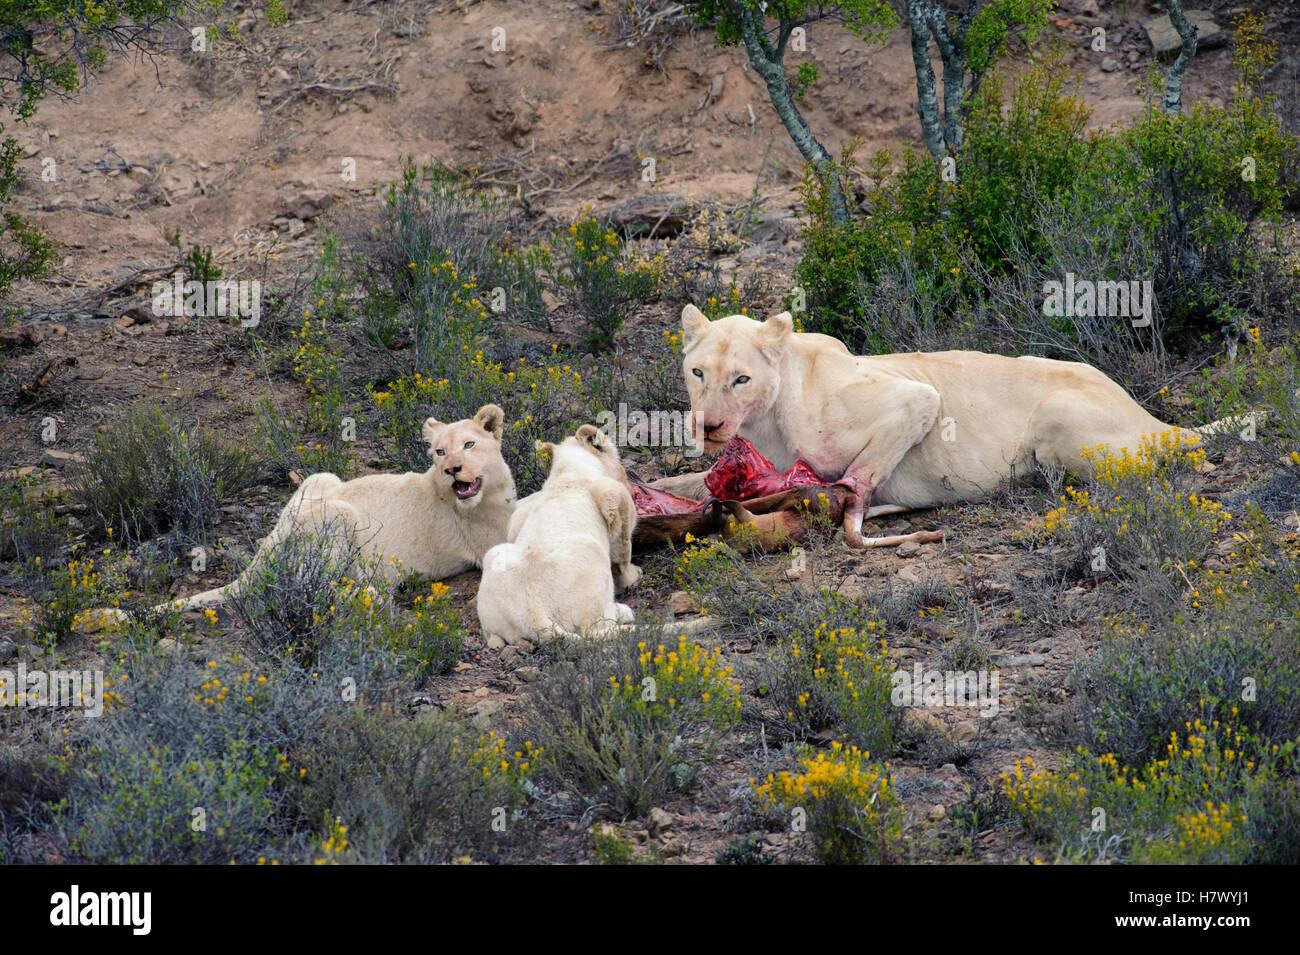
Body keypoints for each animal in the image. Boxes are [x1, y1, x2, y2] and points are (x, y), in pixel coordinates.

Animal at [477, 424, 640, 645]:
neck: (566, 472)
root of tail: (532, 615)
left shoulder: (519, 515)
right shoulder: (612, 494)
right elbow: (623, 546)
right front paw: (633, 576)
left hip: (494, 558)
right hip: (588, 550)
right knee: (595, 628)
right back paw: (623, 611)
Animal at [672, 304, 1216, 548]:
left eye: (741, 378)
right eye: (698, 373)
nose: (709, 425)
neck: (765, 421)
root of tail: (1156, 419)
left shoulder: (914, 399)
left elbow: (857, 480)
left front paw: (856, 516)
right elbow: (683, 484)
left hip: (1058, 415)